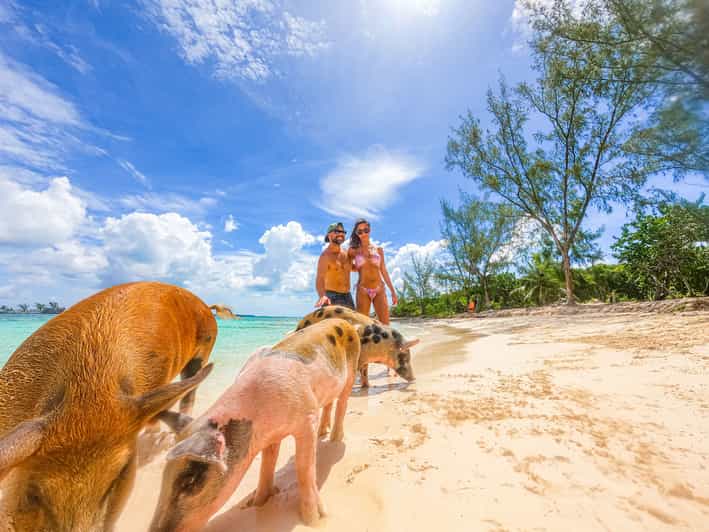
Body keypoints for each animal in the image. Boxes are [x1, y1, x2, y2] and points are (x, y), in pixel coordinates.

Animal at [149, 318, 361, 532]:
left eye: (190, 482)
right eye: (163, 477)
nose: (154, 530)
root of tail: (344, 321)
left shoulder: (307, 417)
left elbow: (303, 468)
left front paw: (314, 521)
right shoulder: (272, 434)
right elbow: (267, 464)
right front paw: (255, 503)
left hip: (352, 370)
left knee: (343, 402)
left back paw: (334, 440)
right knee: (329, 403)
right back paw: (322, 434)